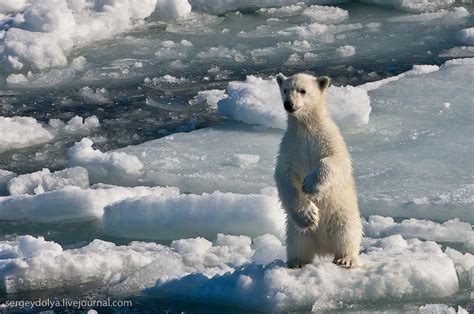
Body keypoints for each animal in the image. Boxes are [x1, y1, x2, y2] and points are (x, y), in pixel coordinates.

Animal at [272, 73, 362, 268]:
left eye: (303, 90)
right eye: (285, 90)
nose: (288, 104)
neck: (306, 127)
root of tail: (323, 248)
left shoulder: (327, 137)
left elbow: (337, 160)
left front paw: (310, 185)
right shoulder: (291, 146)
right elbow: (284, 175)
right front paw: (310, 215)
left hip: (342, 215)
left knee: (347, 234)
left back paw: (345, 258)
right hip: (294, 229)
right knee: (298, 241)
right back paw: (297, 262)